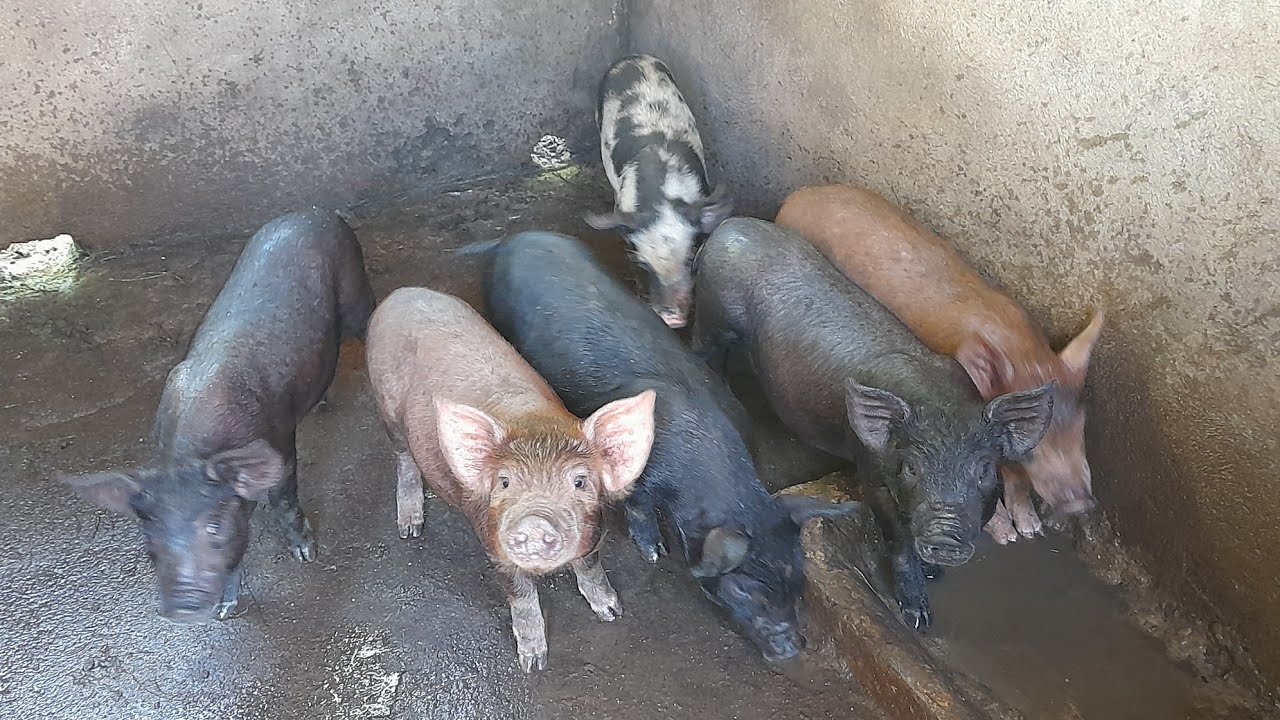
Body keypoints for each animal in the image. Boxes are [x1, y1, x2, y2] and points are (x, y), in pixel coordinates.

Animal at [62, 209, 376, 623]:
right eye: (151, 543)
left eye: (214, 528)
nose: (182, 607)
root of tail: (317, 212)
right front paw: (226, 611)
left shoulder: (281, 444)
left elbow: (285, 501)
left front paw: (307, 554)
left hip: (356, 287)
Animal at [364, 287, 657, 673]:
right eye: (504, 482)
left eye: (579, 481)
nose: (534, 520)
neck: (533, 422)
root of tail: (400, 294)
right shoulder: (492, 543)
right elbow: (522, 595)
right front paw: (533, 664)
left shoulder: (596, 529)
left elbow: (591, 567)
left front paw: (612, 612)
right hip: (386, 407)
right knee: (403, 457)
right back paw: (410, 529)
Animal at [464, 230, 858, 662]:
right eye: (745, 588)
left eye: (798, 580)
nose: (792, 649)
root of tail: (510, 240)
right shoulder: (633, 476)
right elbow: (638, 509)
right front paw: (655, 553)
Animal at [690, 218, 1056, 627]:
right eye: (911, 467)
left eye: (985, 469)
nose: (945, 539)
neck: (938, 400)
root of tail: (728, 227)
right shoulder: (870, 472)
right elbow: (897, 541)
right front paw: (918, 619)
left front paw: (934, 574)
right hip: (713, 314)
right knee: (703, 349)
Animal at [775, 185, 1104, 543]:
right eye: (1036, 447)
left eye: (1082, 424)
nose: (1082, 504)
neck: (1020, 350)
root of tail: (797, 196)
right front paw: (1008, 536)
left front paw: (1030, 530)